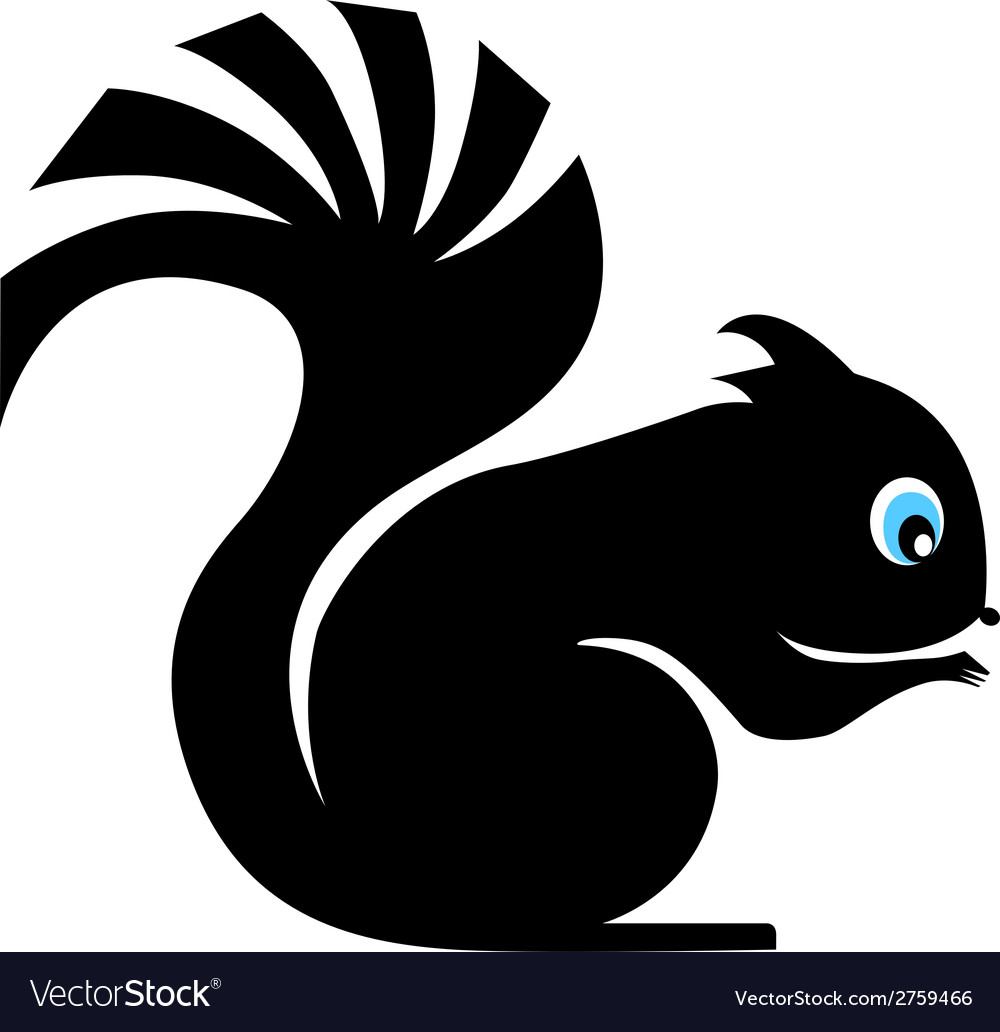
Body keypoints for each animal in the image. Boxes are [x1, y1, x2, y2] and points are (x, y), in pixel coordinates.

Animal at [1, 3, 994, 950]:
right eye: (913, 532)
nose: (984, 611)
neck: (725, 489)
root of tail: (385, 883)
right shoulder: (701, 593)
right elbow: (782, 707)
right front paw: (947, 669)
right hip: (620, 737)